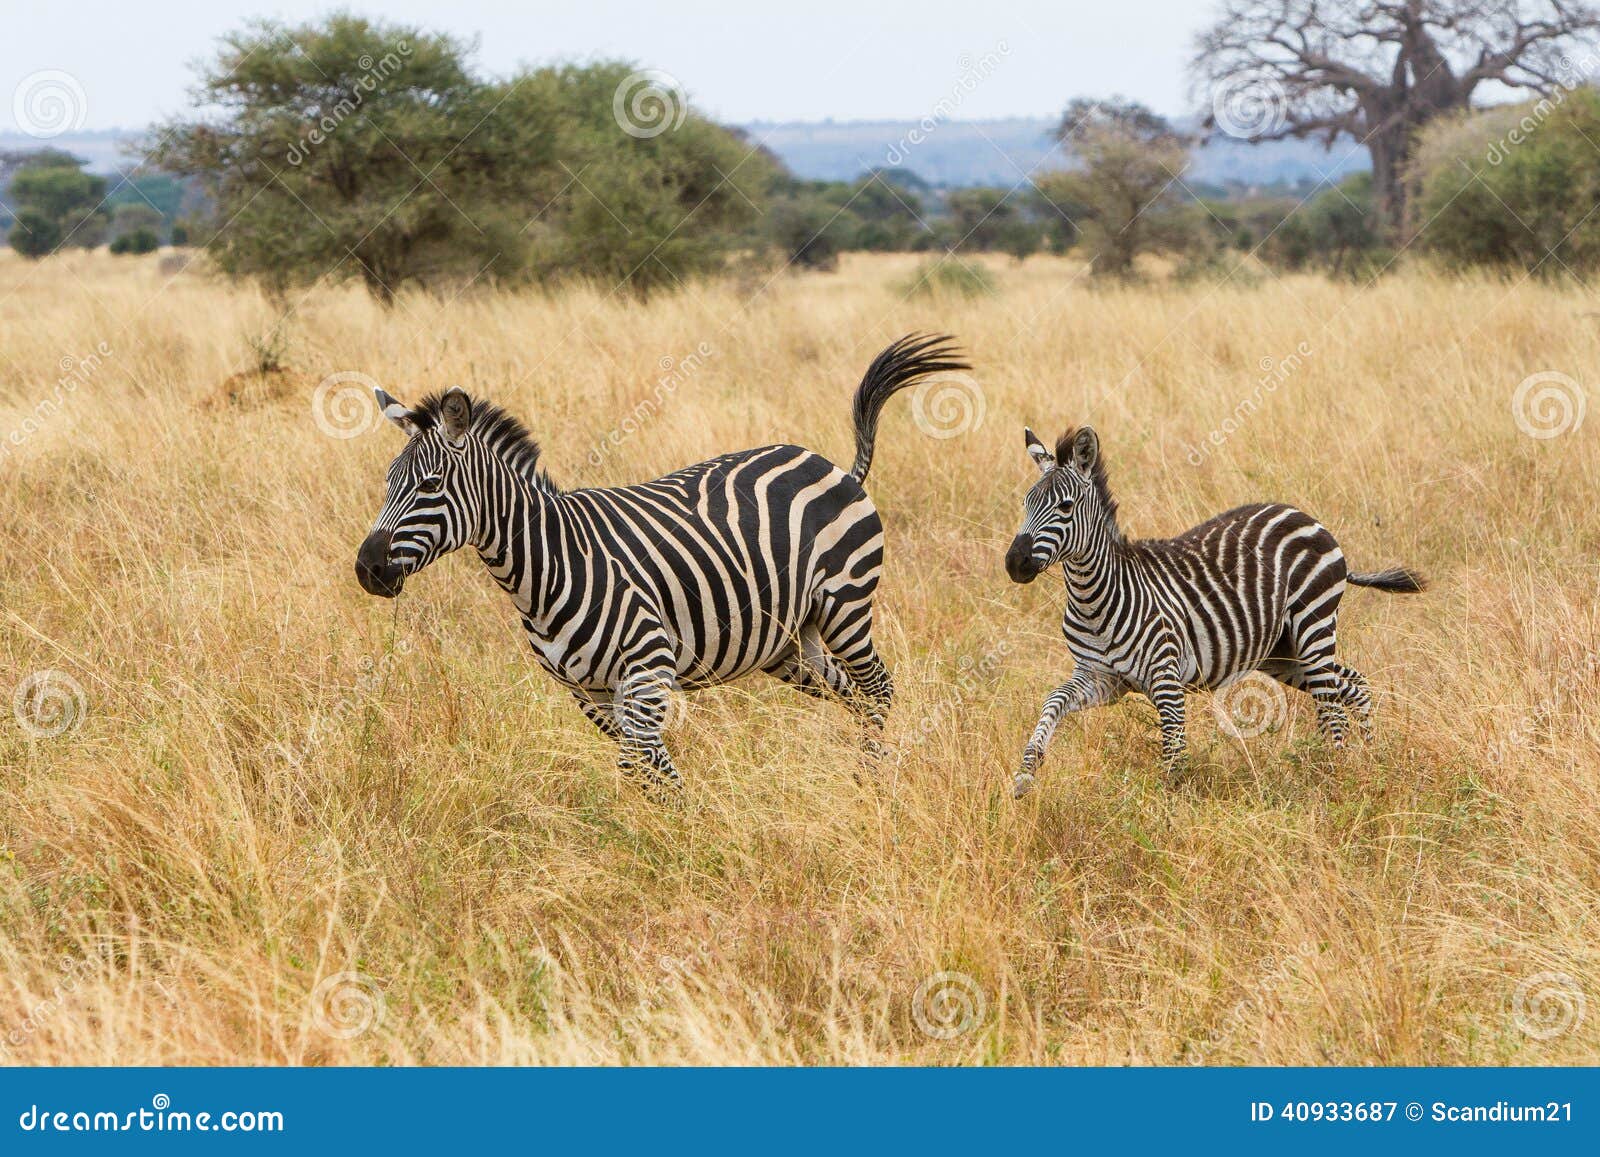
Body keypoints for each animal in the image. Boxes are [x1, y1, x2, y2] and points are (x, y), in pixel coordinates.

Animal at [355, 334, 968, 797]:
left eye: (431, 485)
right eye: (386, 483)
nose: (367, 570)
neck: (547, 564)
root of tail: (832, 464)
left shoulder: (648, 669)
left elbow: (644, 764)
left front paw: (684, 841)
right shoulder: (588, 693)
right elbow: (637, 768)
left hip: (846, 603)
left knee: (879, 687)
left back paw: (871, 782)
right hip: (789, 643)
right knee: (853, 694)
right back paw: (857, 776)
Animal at [1004, 425, 1425, 799]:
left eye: (1065, 507)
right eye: (1025, 504)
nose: (1014, 563)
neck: (1093, 601)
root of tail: (1304, 515)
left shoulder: (1166, 679)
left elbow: (1174, 754)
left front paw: (1166, 810)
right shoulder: (1099, 679)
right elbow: (1053, 701)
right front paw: (1026, 772)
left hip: (1312, 626)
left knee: (1331, 705)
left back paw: (1336, 774)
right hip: (1282, 652)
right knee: (1352, 685)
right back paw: (1368, 758)